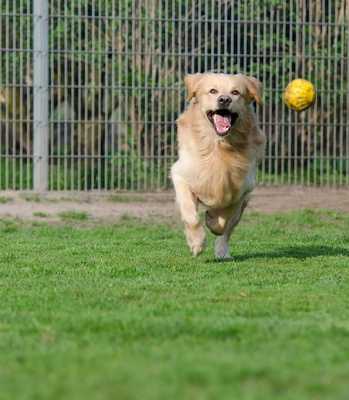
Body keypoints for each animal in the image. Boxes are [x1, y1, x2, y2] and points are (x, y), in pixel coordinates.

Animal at [171, 72, 264, 260]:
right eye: (213, 91)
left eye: (235, 92)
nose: (224, 99)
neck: (219, 147)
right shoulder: (180, 175)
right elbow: (191, 215)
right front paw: (197, 243)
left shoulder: (242, 190)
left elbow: (223, 222)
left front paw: (212, 221)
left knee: (229, 229)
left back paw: (222, 251)